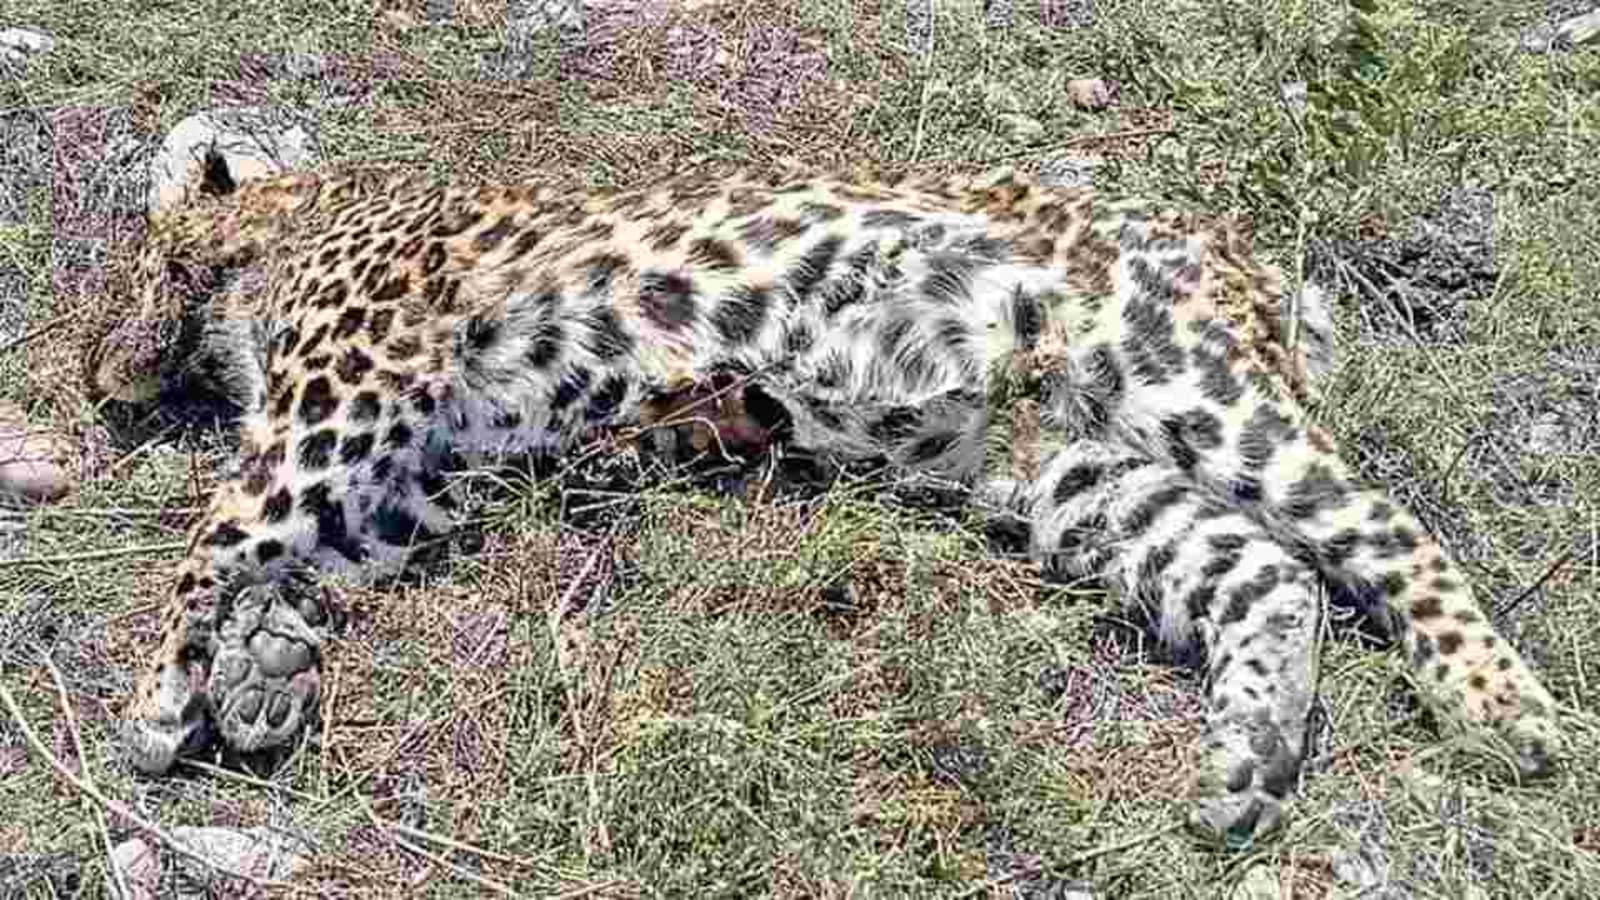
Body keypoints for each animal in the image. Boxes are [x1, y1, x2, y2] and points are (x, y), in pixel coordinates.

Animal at [87, 150, 1565, 848]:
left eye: (119, 280)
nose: (96, 379)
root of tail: (1246, 262)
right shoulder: (432, 462)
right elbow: (302, 557)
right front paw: (259, 673)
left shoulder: (353, 383)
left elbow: (224, 533)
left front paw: (161, 699)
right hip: (1074, 472)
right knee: (1272, 572)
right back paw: (1249, 760)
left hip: (1182, 371)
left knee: (1383, 530)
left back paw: (1503, 709)